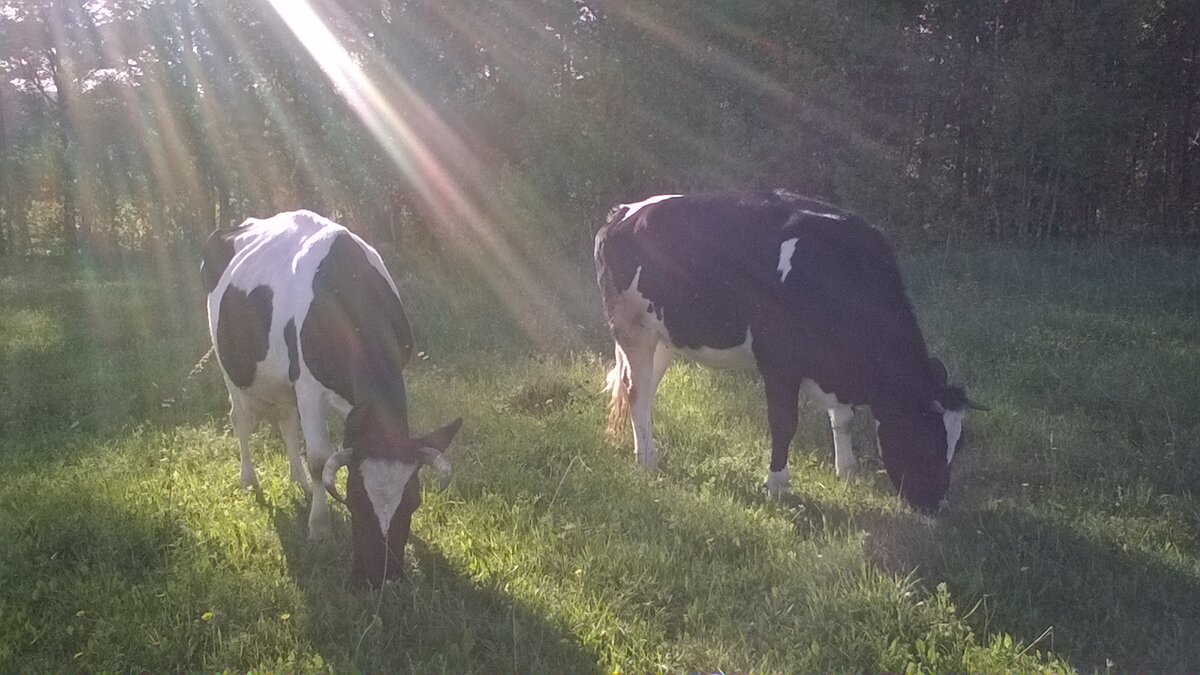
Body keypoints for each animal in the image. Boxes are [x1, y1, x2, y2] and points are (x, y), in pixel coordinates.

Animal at [201, 210, 463, 583]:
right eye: (354, 501)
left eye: (413, 502)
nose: (379, 577)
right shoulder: (309, 388)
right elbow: (319, 459)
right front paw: (319, 528)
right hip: (233, 369)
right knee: (240, 420)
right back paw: (249, 480)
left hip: (284, 381)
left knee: (286, 421)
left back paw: (299, 482)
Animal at [597, 189, 984, 509]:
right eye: (926, 439)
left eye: (959, 444)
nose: (935, 505)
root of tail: (624, 211)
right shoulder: (779, 362)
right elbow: (784, 423)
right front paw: (777, 485)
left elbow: (843, 418)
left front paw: (848, 471)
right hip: (633, 328)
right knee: (636, 390)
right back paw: (647, 460)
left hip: (664, 335)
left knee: (644, 390)